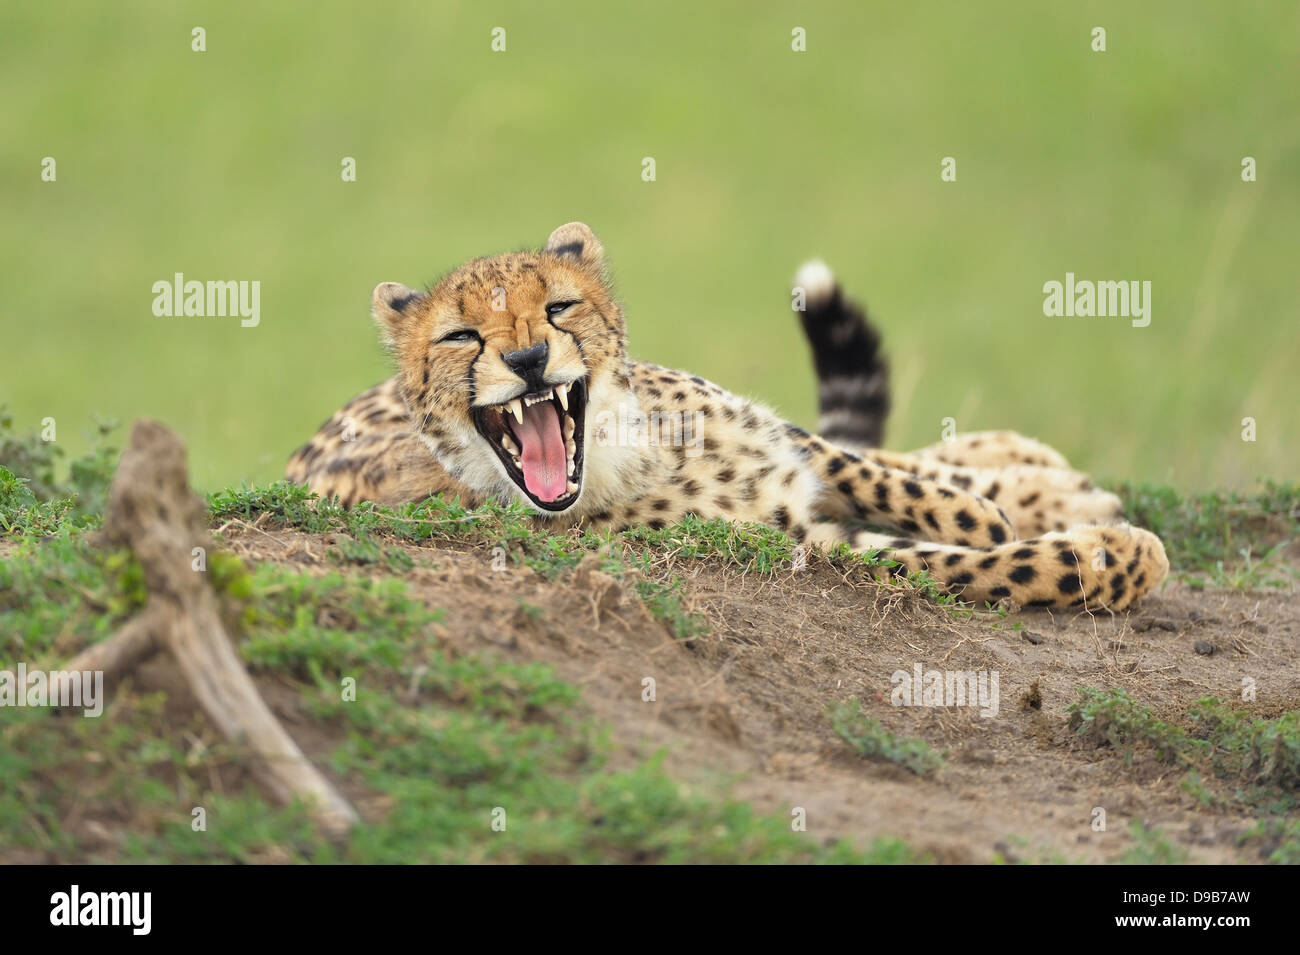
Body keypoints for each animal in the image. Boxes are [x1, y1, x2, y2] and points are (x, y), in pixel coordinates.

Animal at [287, 221, 1169, 611]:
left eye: (559, 308)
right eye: (463, 336)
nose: (531, 360)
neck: (621, 454)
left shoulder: (768, 435)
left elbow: (894, 478)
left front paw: (990, 507)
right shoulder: (803, 546)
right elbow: (989, 564)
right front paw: (1118, 556)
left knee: (910, 456)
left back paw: (1035, 473)